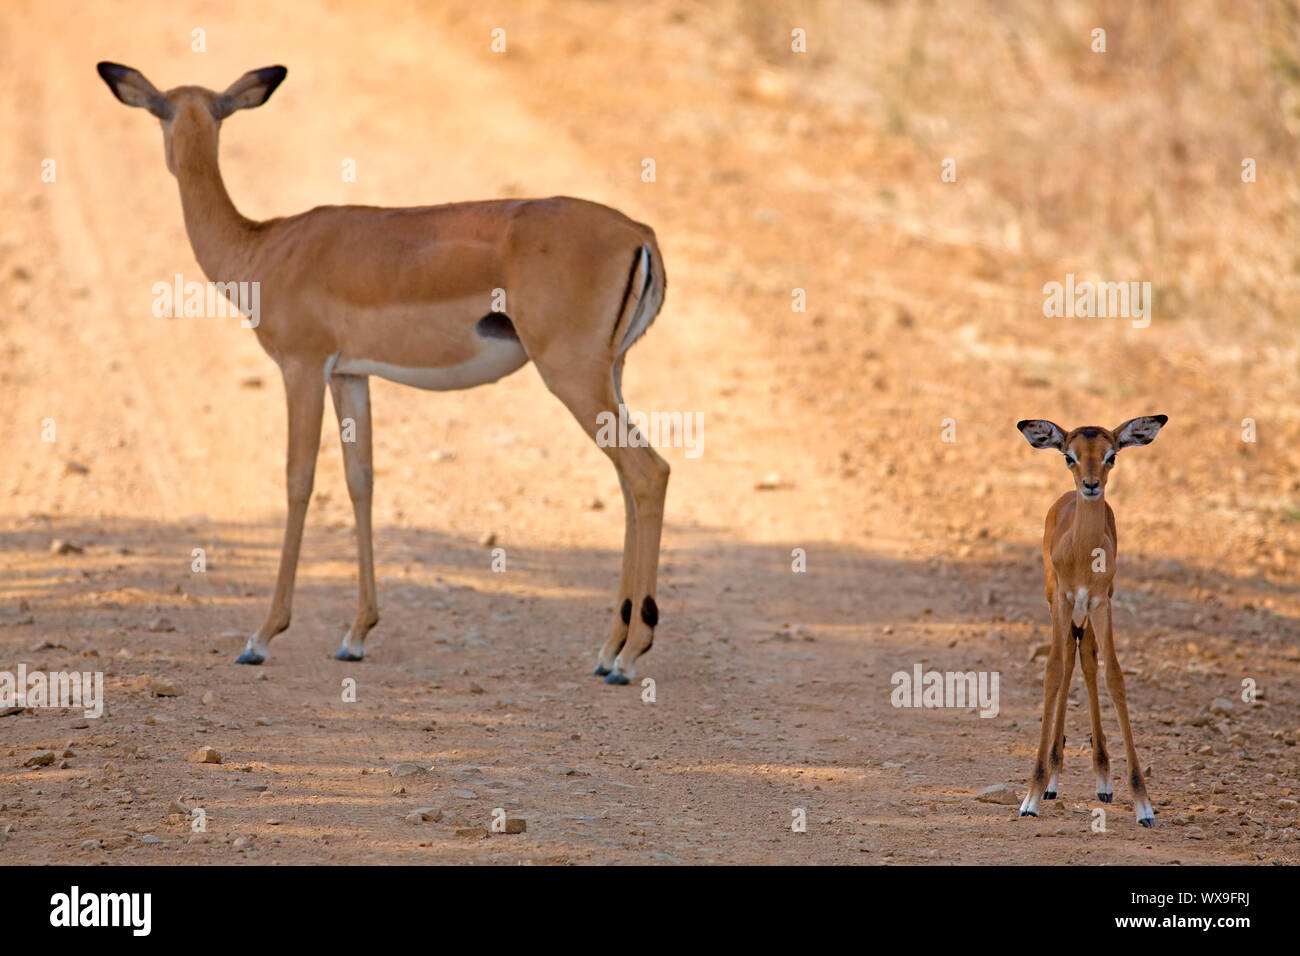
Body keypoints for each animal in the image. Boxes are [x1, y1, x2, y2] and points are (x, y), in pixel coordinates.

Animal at [96, 63, 669, 684]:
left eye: (163, 112)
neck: (264, 247)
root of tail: (640, 233)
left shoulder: (302, 366)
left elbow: (299, 482)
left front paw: (262, 637)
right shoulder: (349, 376)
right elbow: (361, 480)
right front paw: (355, 636)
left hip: (573, 374)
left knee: (649, 471)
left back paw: (630, 656)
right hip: (610, 373)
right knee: (628, 483)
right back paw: (608, 650)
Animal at [1015, 415, 1167, 827]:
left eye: (1111, 455)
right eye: (1069, 455)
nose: (1091, 484)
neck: (1083, 554)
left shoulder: (1101, 603)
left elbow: (1113, 676)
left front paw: (1143, 806)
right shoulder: (1063, 601)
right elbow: (1052, 672)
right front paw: (1030, 797)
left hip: (1090, 611)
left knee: (1085, 655)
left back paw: (1102, 780)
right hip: (1059, 604)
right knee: (1068, 656)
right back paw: (1052, 781)